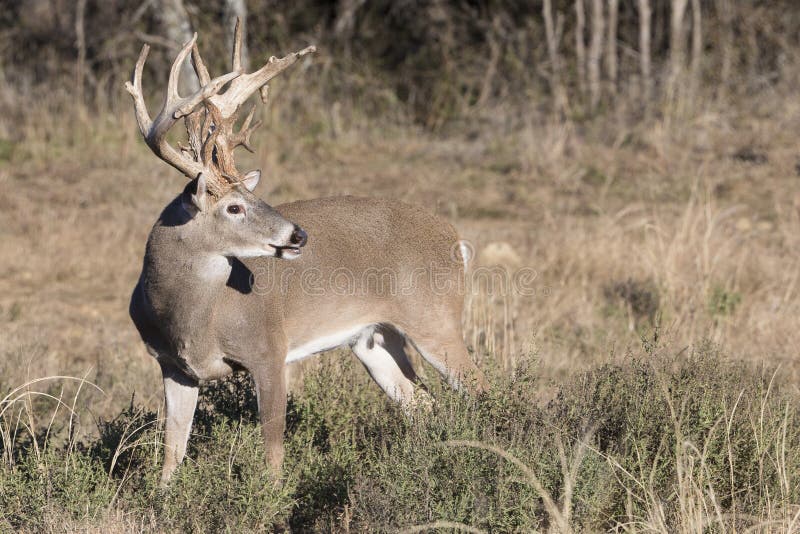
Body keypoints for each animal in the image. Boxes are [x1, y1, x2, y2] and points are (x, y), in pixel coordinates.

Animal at [126, 21, 488, 484]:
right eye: (234, 207)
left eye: (251, 196)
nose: (297, 234)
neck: (186, 317)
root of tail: (455, 240)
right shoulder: (173, 367)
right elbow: (172, 453)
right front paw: (164, 497)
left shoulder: (268, 348)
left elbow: (273, 450)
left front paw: (271, 496)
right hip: (372, 339)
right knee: (422, 403)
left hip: (434, 317)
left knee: (481, 388)